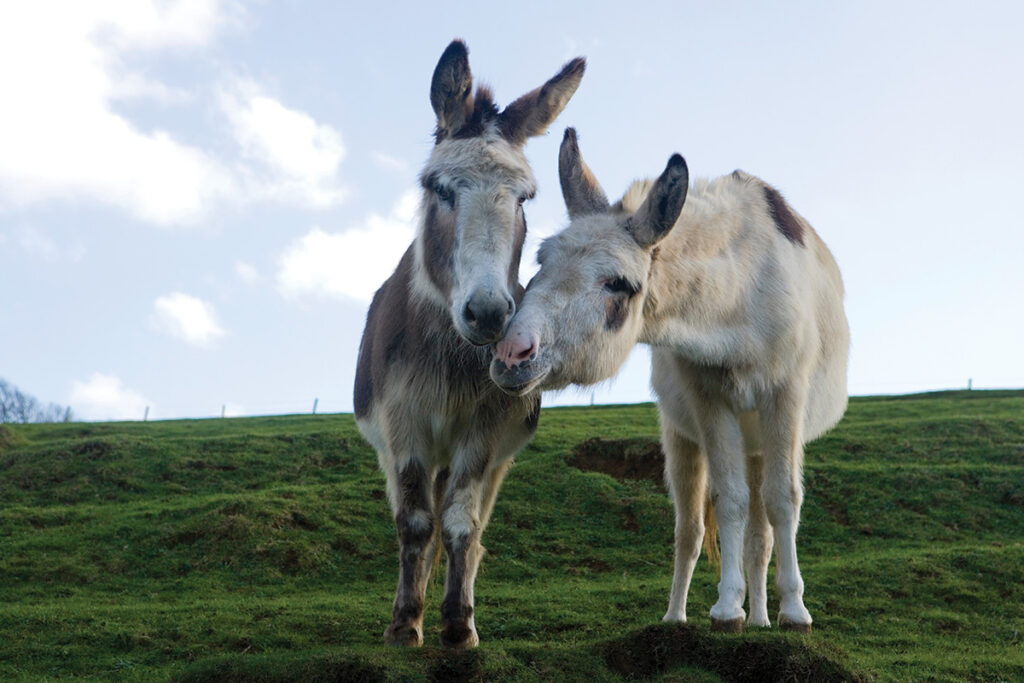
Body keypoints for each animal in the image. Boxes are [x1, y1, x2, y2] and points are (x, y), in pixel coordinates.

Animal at [354, 42, 585, 648]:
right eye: (438, 189)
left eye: (525, 198)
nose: (488, 314)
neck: (449, 353)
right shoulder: (402, 424)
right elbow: (415, 523)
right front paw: (403, 625)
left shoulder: (483, 428)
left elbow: (460, 521)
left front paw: (457, 625)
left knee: (472, 523)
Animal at [491, 128, 849, 632]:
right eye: (540, 261)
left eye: (618, 284)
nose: (510, 354)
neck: (740, 294)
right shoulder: (709, 397)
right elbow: (729, 499)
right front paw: (727, 609)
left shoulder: (786, 395)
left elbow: (784, 500)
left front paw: (795, 611)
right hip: (683, 434)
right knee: (692, 529)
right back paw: (681, 616)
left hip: (759, 437)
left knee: (762, 533)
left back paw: (763, 619)